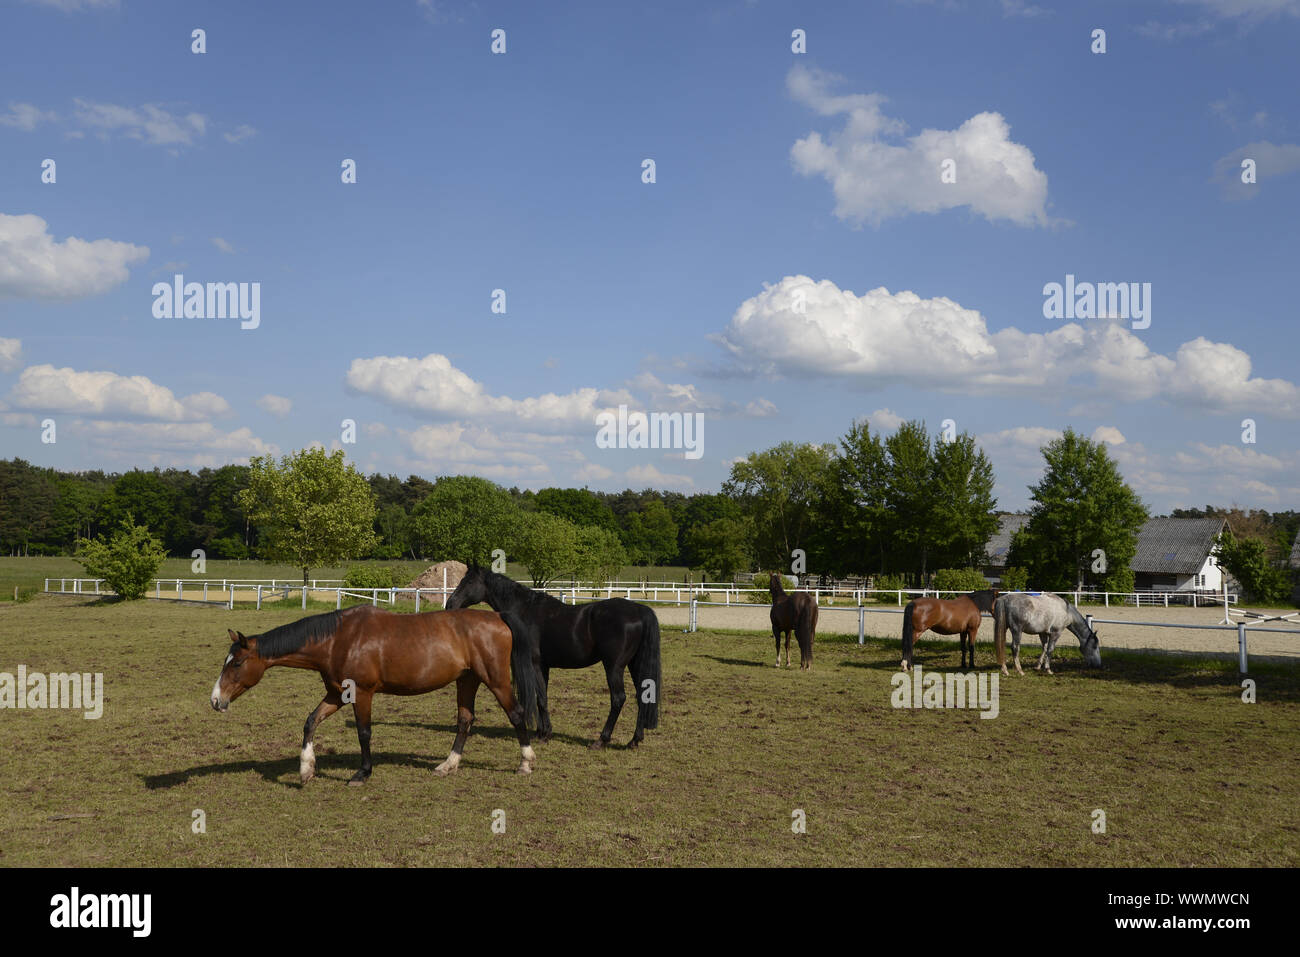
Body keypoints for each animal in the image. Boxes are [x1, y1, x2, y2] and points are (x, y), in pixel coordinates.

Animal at [209, 605, 540, 783]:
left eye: (236, 663)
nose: (215, 700)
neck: (338, 640)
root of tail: (497, 617)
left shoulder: (363, 694)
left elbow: (364, 732)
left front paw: (362, 773)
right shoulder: (336, 695)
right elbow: (310, 722)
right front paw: (305, 770)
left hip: (495, 680)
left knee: (516, 714)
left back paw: (525, 764)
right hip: (467, 680)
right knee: (465, 720)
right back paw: (448, 765)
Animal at [444, 564, 661, 750]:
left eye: (469, 582)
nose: (450, 604)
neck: (524, 610)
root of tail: (639, 610)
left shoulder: (535, 664)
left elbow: (541, 698)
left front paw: (545, 734)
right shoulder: (544, 666)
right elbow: (542, 697)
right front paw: (541, 732)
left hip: (613, 667)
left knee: (618, 699)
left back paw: (602, 740)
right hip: (635, 664)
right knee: (642, 696)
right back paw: (634, 740)